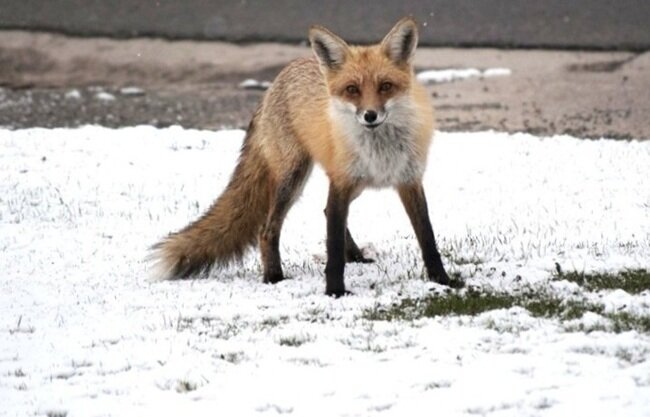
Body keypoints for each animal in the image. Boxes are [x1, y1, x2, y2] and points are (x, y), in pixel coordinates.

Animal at [150, 17, 451, 296]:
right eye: (352, 89)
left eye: (386, 86)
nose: (370, 115)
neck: (380, 150)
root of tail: (276, 81)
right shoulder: (340, 183)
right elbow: (332, 247)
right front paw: (335, 292)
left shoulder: (409, 180)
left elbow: (427, 237)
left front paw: (443, 282)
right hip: (293, 177)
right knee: (267, 229)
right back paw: (274, 278)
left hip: (353, 184)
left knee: (324, 212)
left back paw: (355, 256)